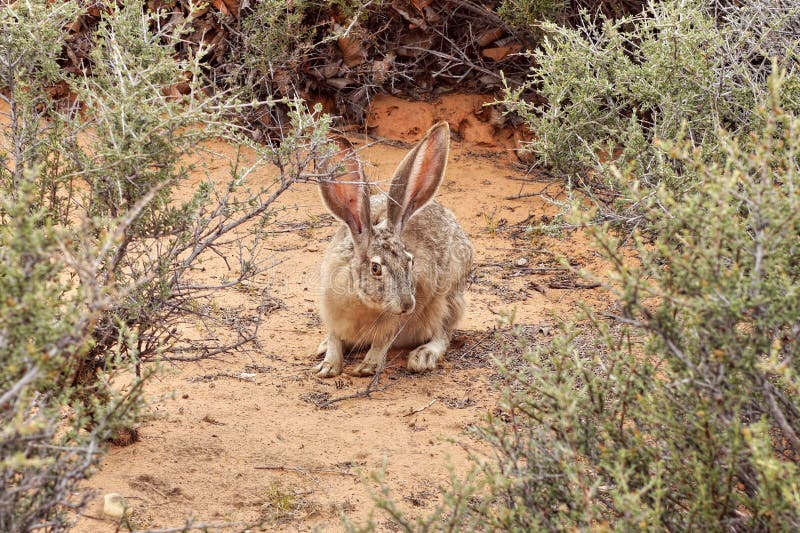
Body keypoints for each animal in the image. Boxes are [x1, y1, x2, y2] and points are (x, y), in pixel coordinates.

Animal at [312, 122, 473, 378]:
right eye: (376, 268)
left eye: (410, 261)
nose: (407, 304)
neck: (363, 301)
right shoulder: (332, 314)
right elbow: (335, 338)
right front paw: (327, 366)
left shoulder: (398, 321)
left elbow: (383, 341)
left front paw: (367, 367)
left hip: (448, 298)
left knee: (444, 332)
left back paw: (422, 356)